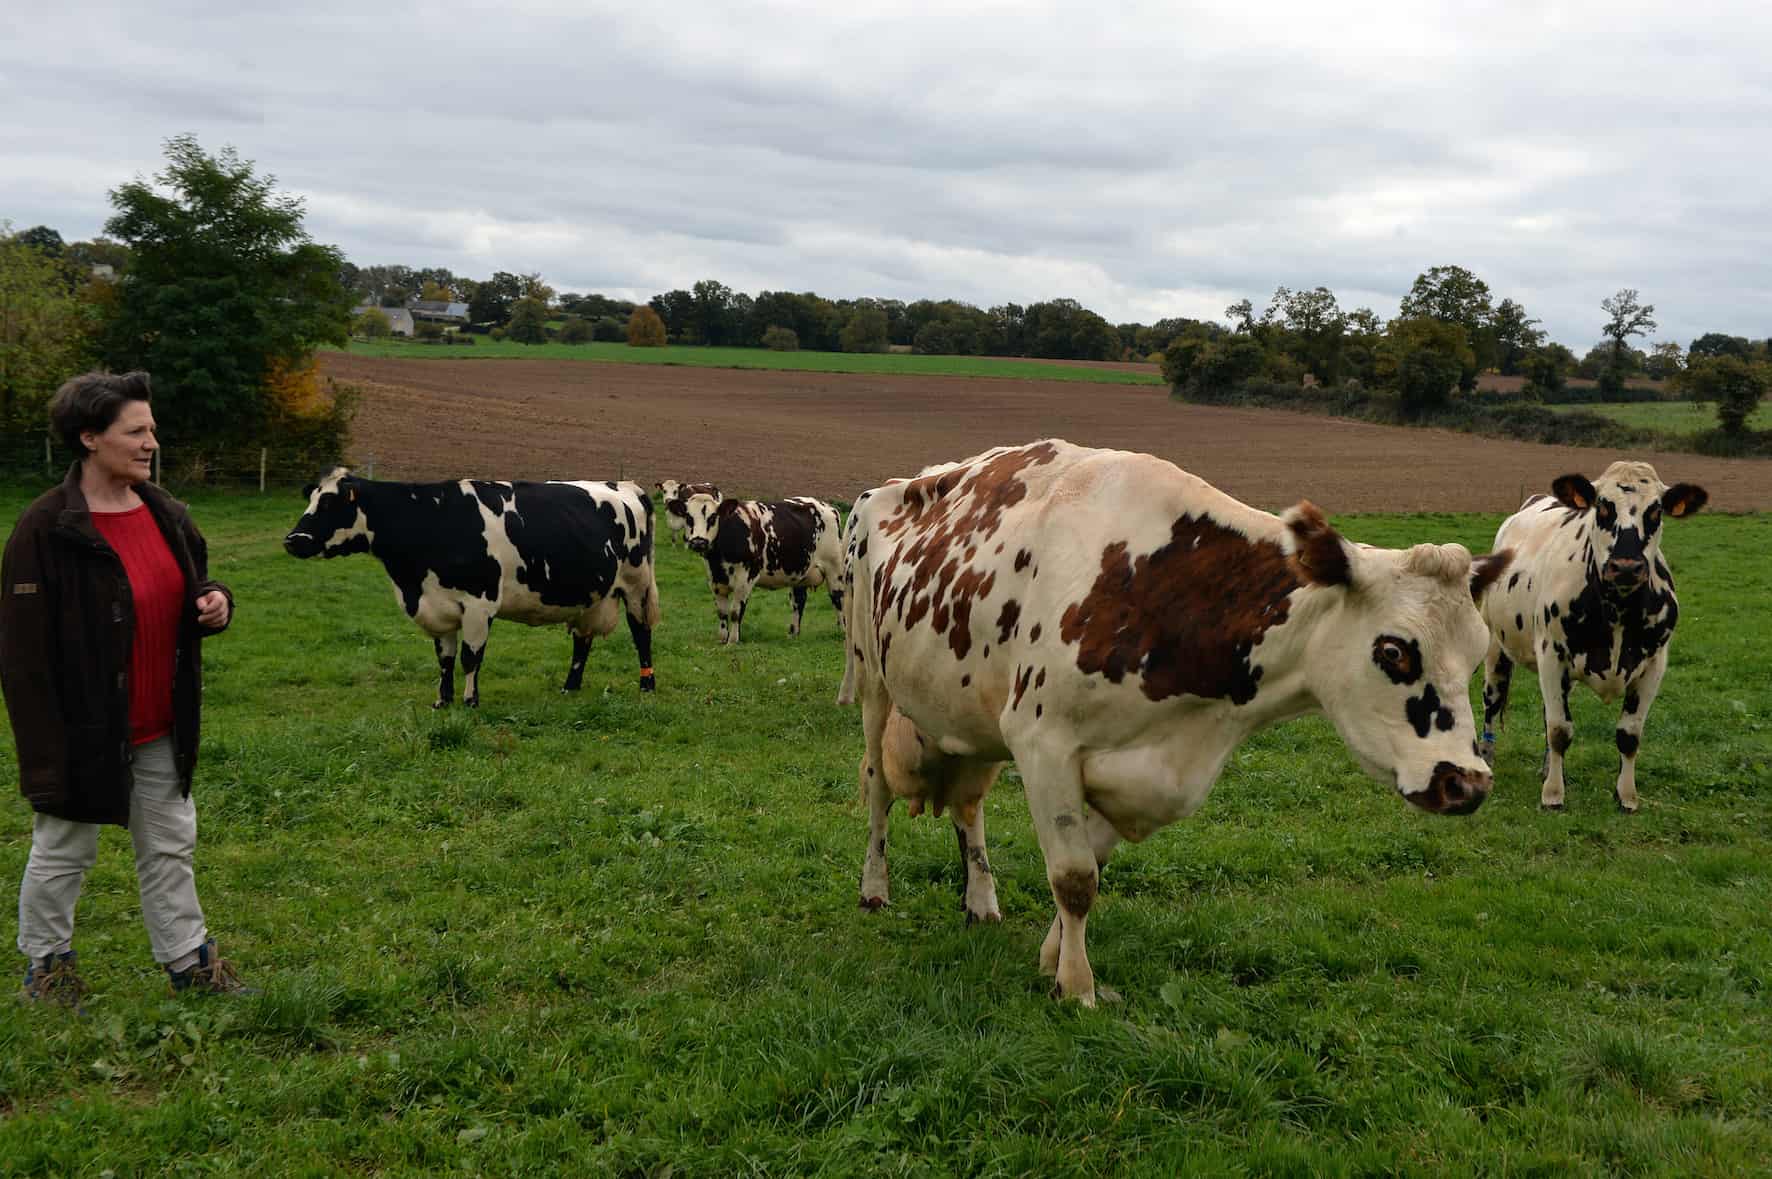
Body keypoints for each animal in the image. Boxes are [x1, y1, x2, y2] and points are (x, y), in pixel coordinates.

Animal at [284, 469, 660, 707]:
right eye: (311, 500)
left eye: (331, 504)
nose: (293, 540)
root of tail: (626, 486)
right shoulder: (439, 606)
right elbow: (445, 659)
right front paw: (443, 700)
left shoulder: (479, 604)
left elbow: (470, 656)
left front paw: (469, 701)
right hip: (589, 595)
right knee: (582, 641)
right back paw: (570, 688)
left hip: (636, 584)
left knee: (641, 633)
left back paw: (647, 685)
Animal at [679, 487, 844, 644]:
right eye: (688, 517)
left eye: (713, 517)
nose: (698, 542)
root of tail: (828, 507)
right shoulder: (715, 581)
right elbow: (722, 612)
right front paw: (722, 639)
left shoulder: (745, 579)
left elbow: (735, 612)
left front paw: (732, 641)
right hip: (800, 573)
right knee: (798, 601)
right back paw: (793, 634)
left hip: (834, 568)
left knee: (837, 598)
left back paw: (841, 632)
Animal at [839, 439, 1511, 1005]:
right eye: (1394, 651)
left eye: (1478, 652)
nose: (1468, 782)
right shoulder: (1043, 742)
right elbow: (1075, 877)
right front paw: (1078, 987)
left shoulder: (1140, 770)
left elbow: (1091, 868)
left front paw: (1052, 959)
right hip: (871, 678)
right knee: (877, 786)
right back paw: (874, 889)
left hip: (966, 713)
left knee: (968, 804)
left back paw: (980, 900)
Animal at [1477, 461, 1707, 812]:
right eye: (1602, 506)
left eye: (1656, 511)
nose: (1625, 566)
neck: (1618, 608)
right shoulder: (1551, 654)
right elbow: (1560, 730)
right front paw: (1553, 795)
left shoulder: (1655, 664)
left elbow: (1629, 734)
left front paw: (1626, 796)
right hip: (1496, 645)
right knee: (1493, 700)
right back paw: (1489, 758)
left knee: (1547, 711)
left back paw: (1548, 767)